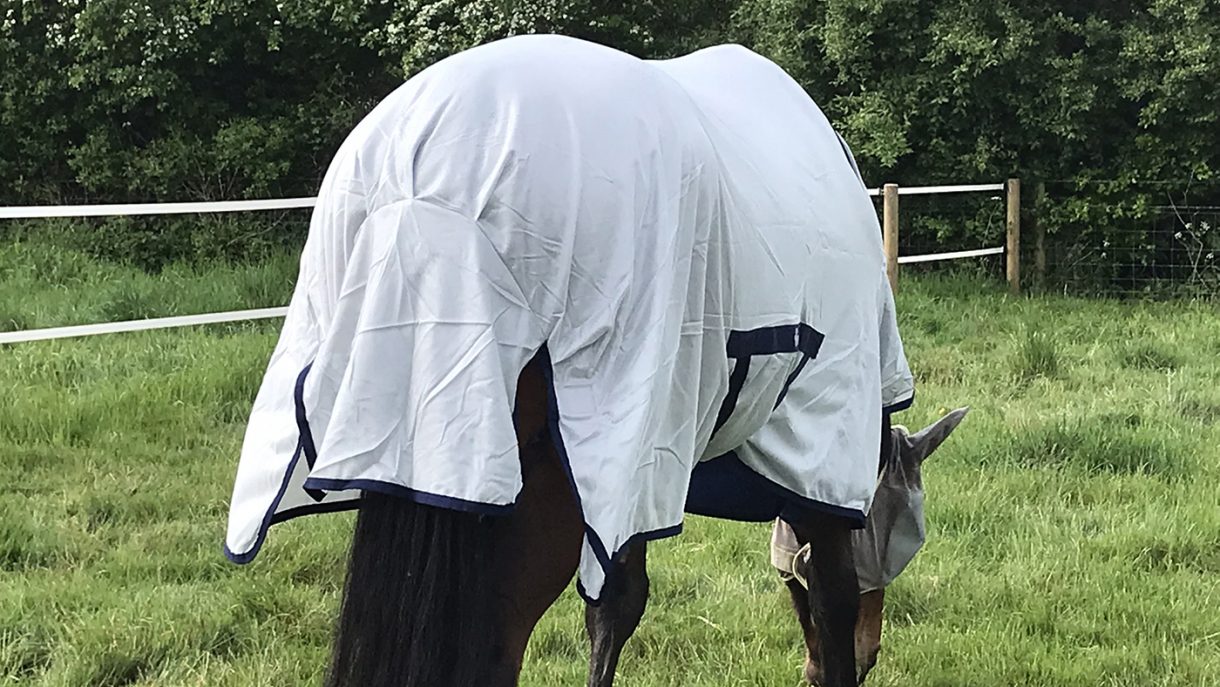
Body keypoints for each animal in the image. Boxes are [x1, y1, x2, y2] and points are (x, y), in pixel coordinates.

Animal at [224, 35, 919, 687]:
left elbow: (616, 605)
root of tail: (432, 177)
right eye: (893, 529)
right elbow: (824, 592)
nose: (868, 653)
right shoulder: (814, 445)